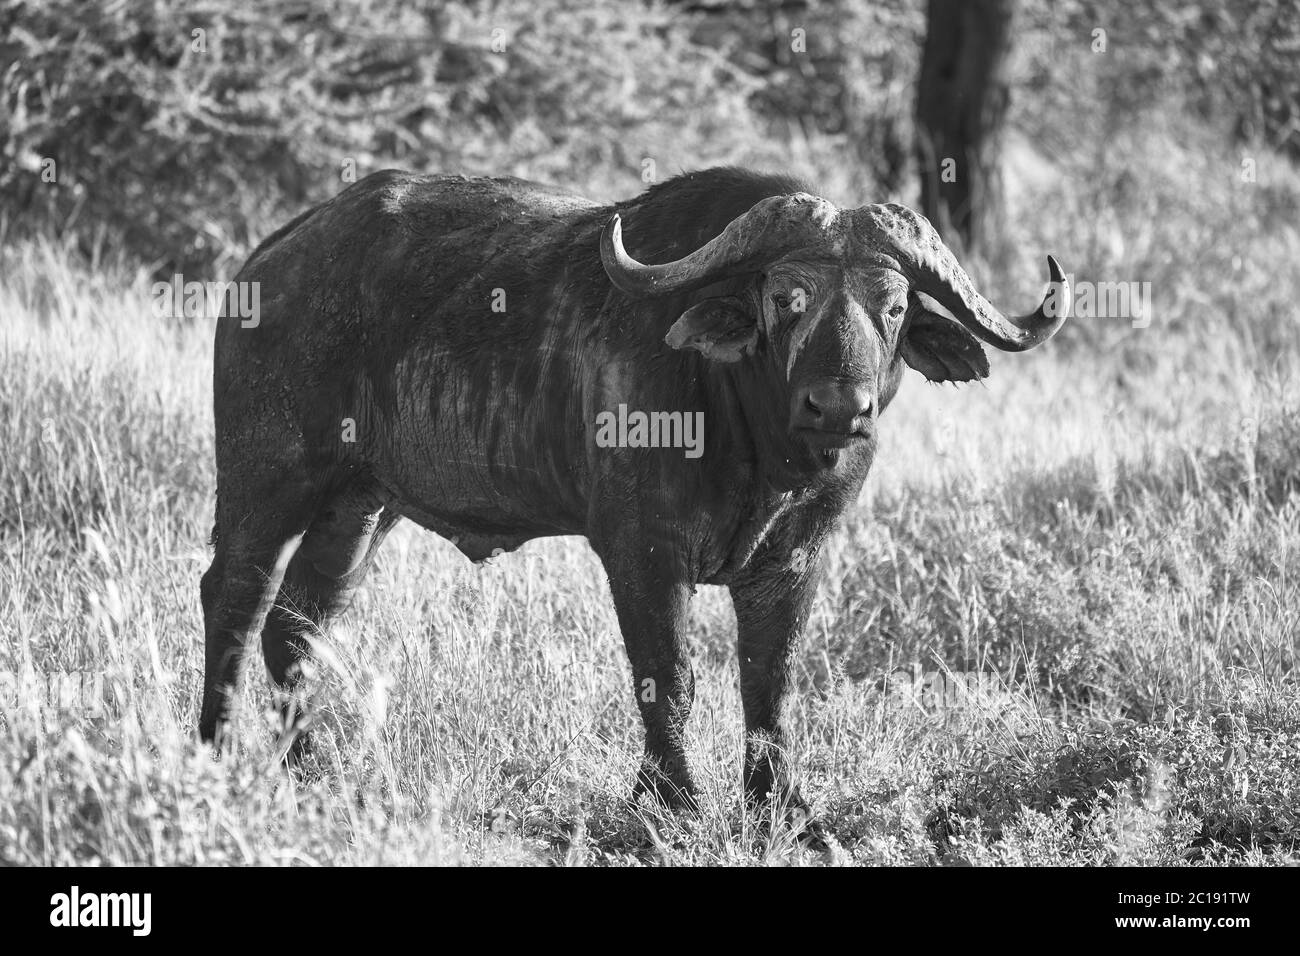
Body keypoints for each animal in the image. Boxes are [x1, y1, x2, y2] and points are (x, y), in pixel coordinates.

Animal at [199, 166, 1069, 811]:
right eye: (786, 298)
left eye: (891, 306)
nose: (839, 408)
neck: (756, 441)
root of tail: (269, 262)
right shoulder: (643, 555)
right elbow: (670, 676)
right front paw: (674, 803)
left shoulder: (796, 561)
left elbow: (772, 682)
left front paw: (781, 805)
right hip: (266, 480)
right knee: (233, 597)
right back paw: (215, 751)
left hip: (360, 505)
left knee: (296, 625)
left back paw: (308, 770)